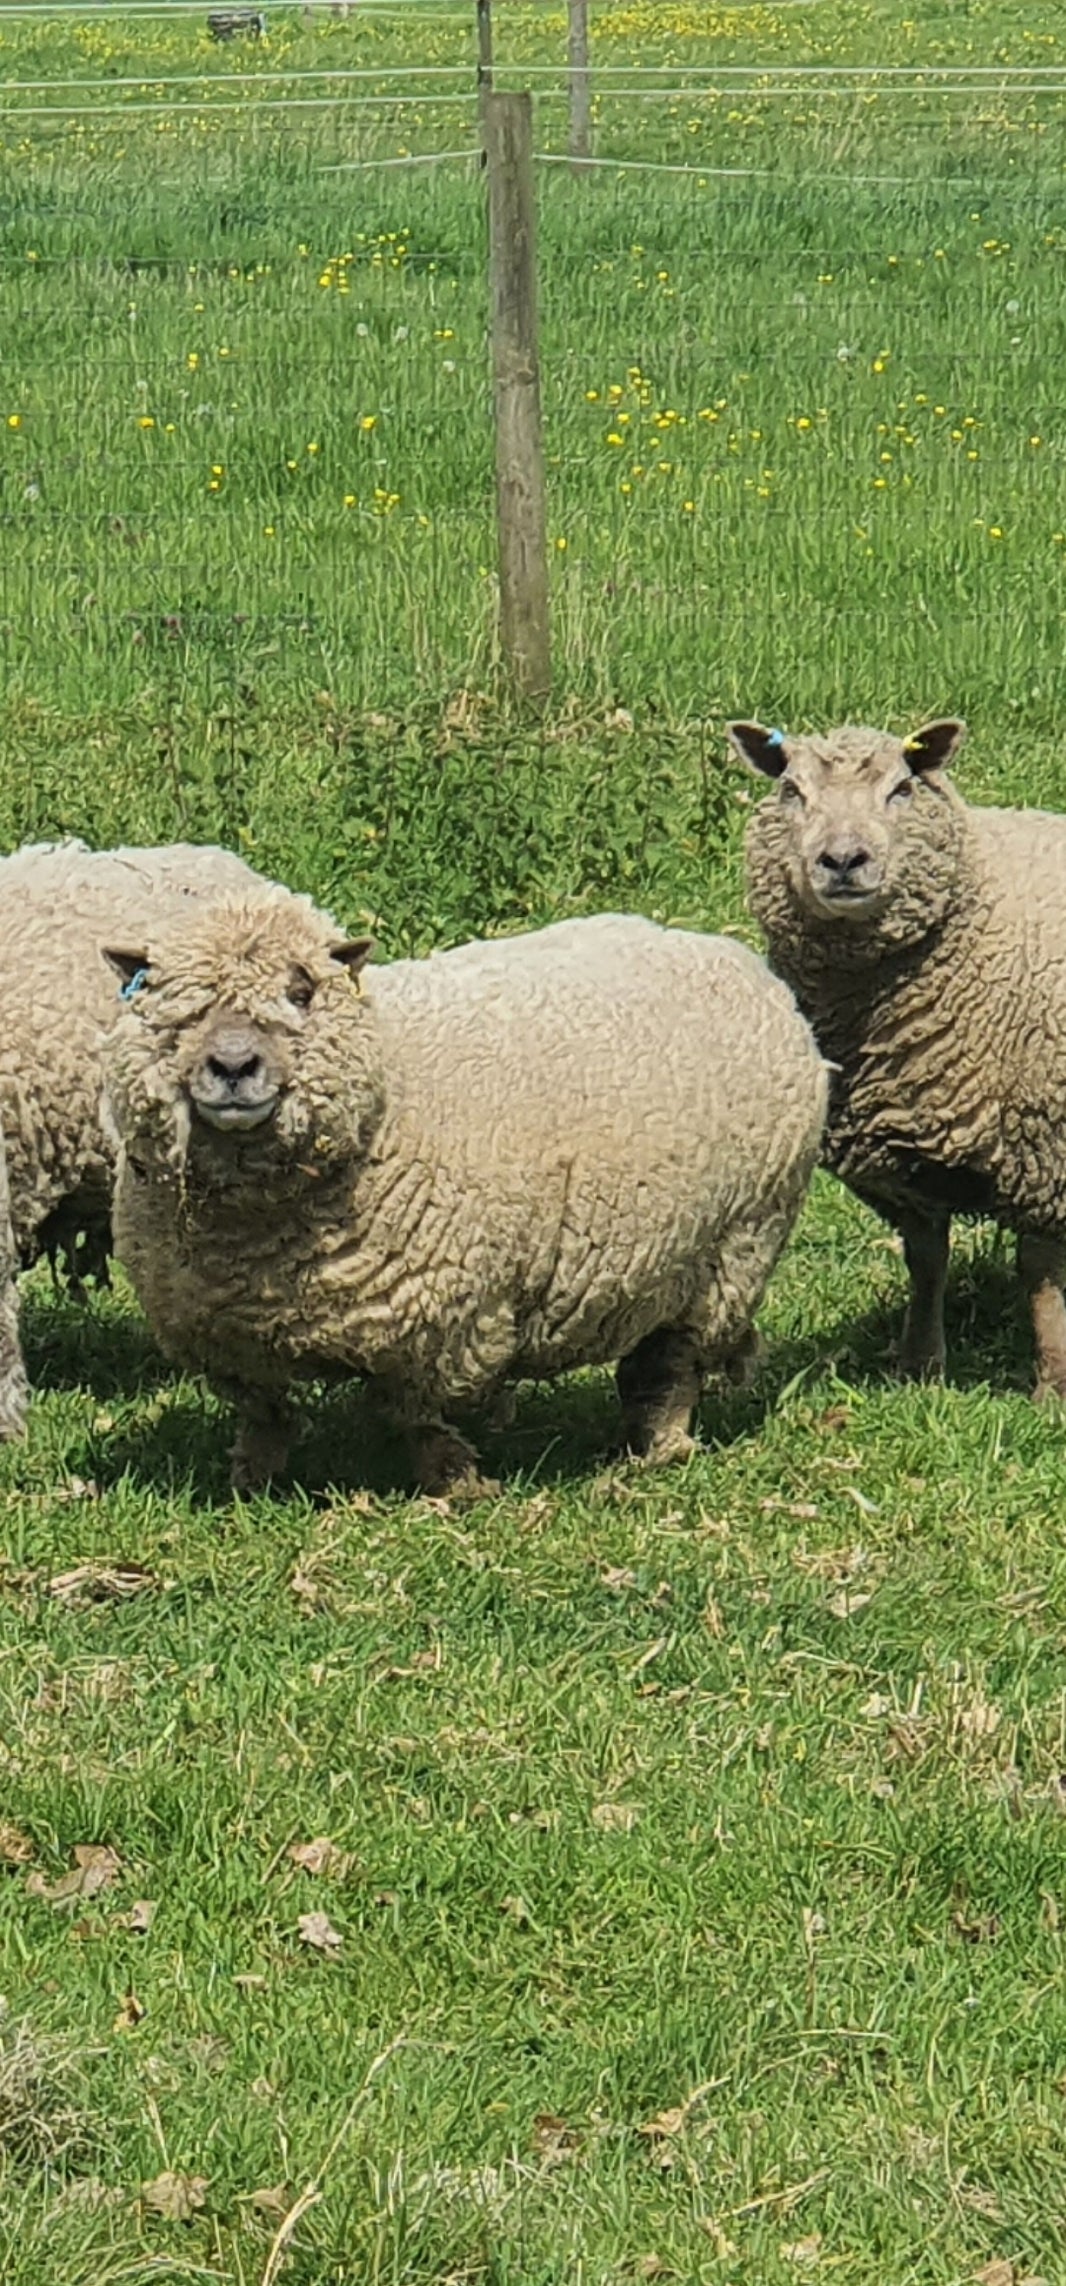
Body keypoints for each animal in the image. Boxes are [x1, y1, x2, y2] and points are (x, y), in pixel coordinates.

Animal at [101, 891, 827, 1494]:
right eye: (169, 1002)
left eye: (301, 991)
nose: (232, 1067)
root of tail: (735, 956)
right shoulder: (219, 1334)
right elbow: (264, 1413)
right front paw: (250, 1482)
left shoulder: (441, 1322)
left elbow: (419, 1417)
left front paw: (456, 1487)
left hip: (734, 1248)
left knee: (676, 1363)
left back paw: (662, 1449)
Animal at [733, 713, 1066, 1397]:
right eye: (792, 791)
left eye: (902, 789)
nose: (842, 860)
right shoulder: (898, 1150)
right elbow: (926, 1259)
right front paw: (920, 1364)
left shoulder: (1040, 1143)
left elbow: (1040, 1270)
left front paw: (1053, 1383)